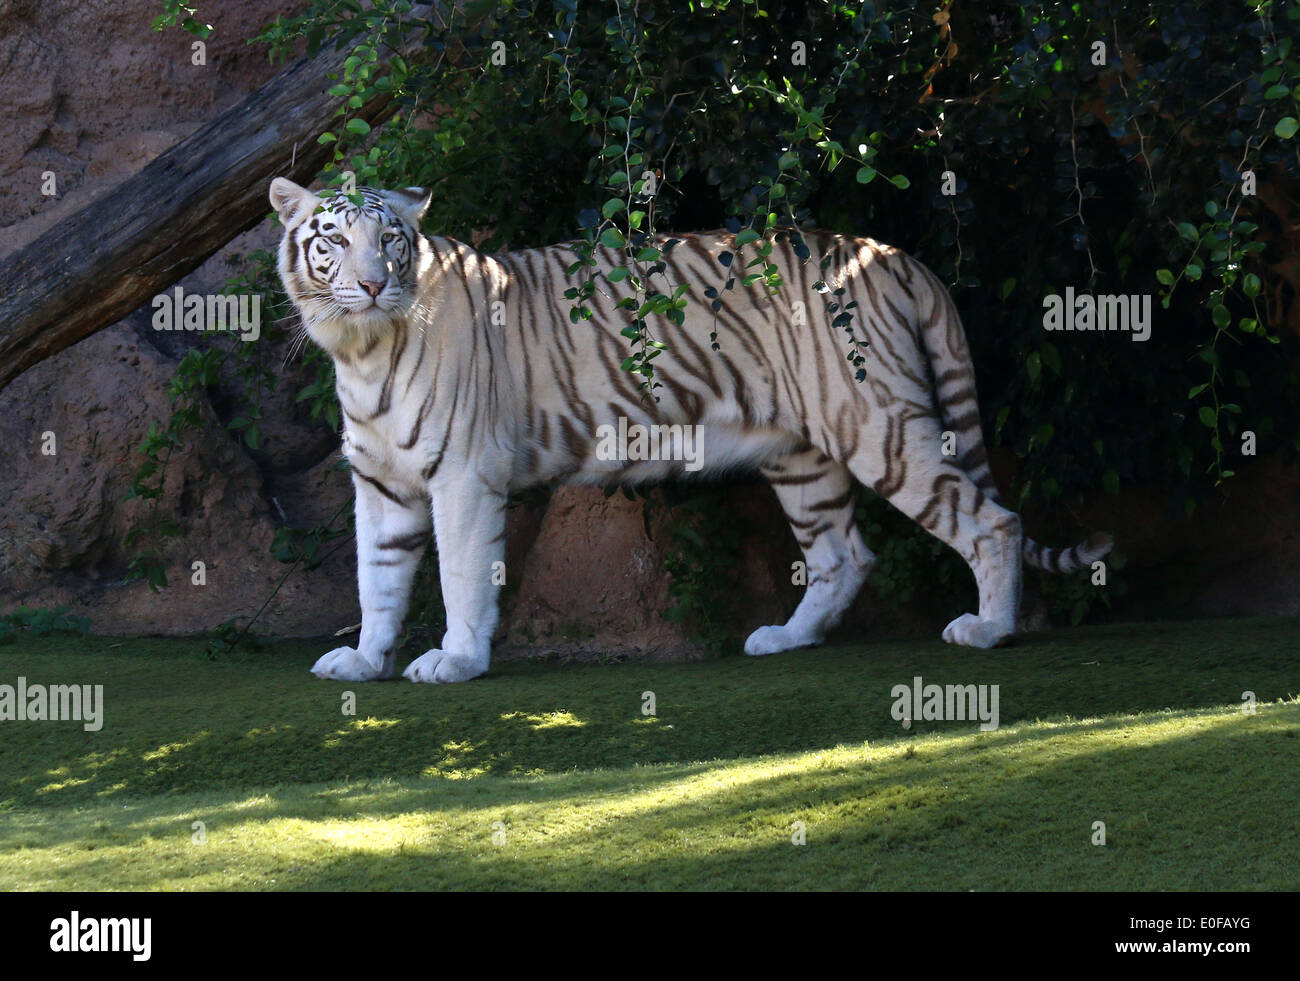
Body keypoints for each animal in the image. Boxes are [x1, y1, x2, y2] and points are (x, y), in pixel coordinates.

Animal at [268, 176, 1113, 684]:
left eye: (391, 240)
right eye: (333, 240)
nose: (372, 283)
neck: (361, 349)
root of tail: (895, 254)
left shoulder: (463, 476)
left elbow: (461, 573)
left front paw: (456, 659)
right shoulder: (381, 483)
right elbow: (377, 577)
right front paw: (365, 660)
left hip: (881, 425)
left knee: (993, 521)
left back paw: (990, 629)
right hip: (802, 453)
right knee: (845, 553)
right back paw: (787, 637)